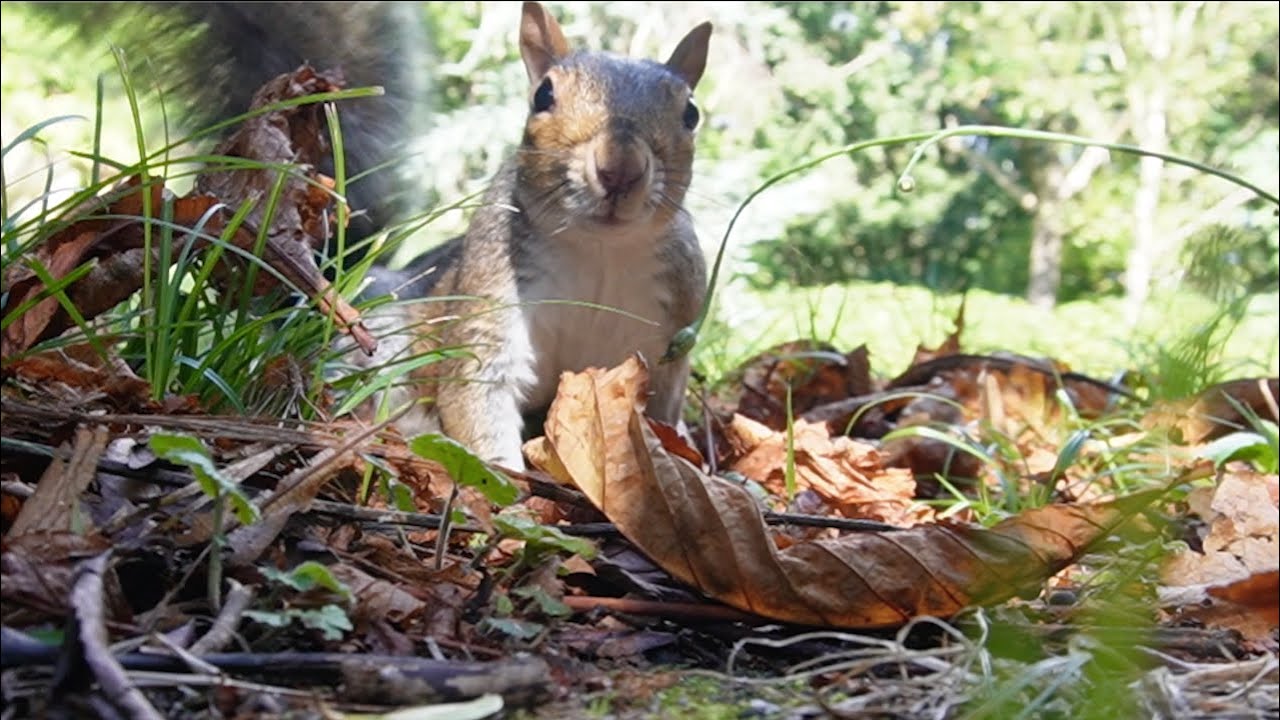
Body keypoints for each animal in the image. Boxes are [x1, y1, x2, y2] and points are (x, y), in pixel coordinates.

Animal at [363, 2, 712, 470]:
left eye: (691, 113)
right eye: (543, 95)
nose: (620, 168)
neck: (599, 250)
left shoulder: (670, 340)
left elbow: (662, 419)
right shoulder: (491, 300)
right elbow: (477, 391)